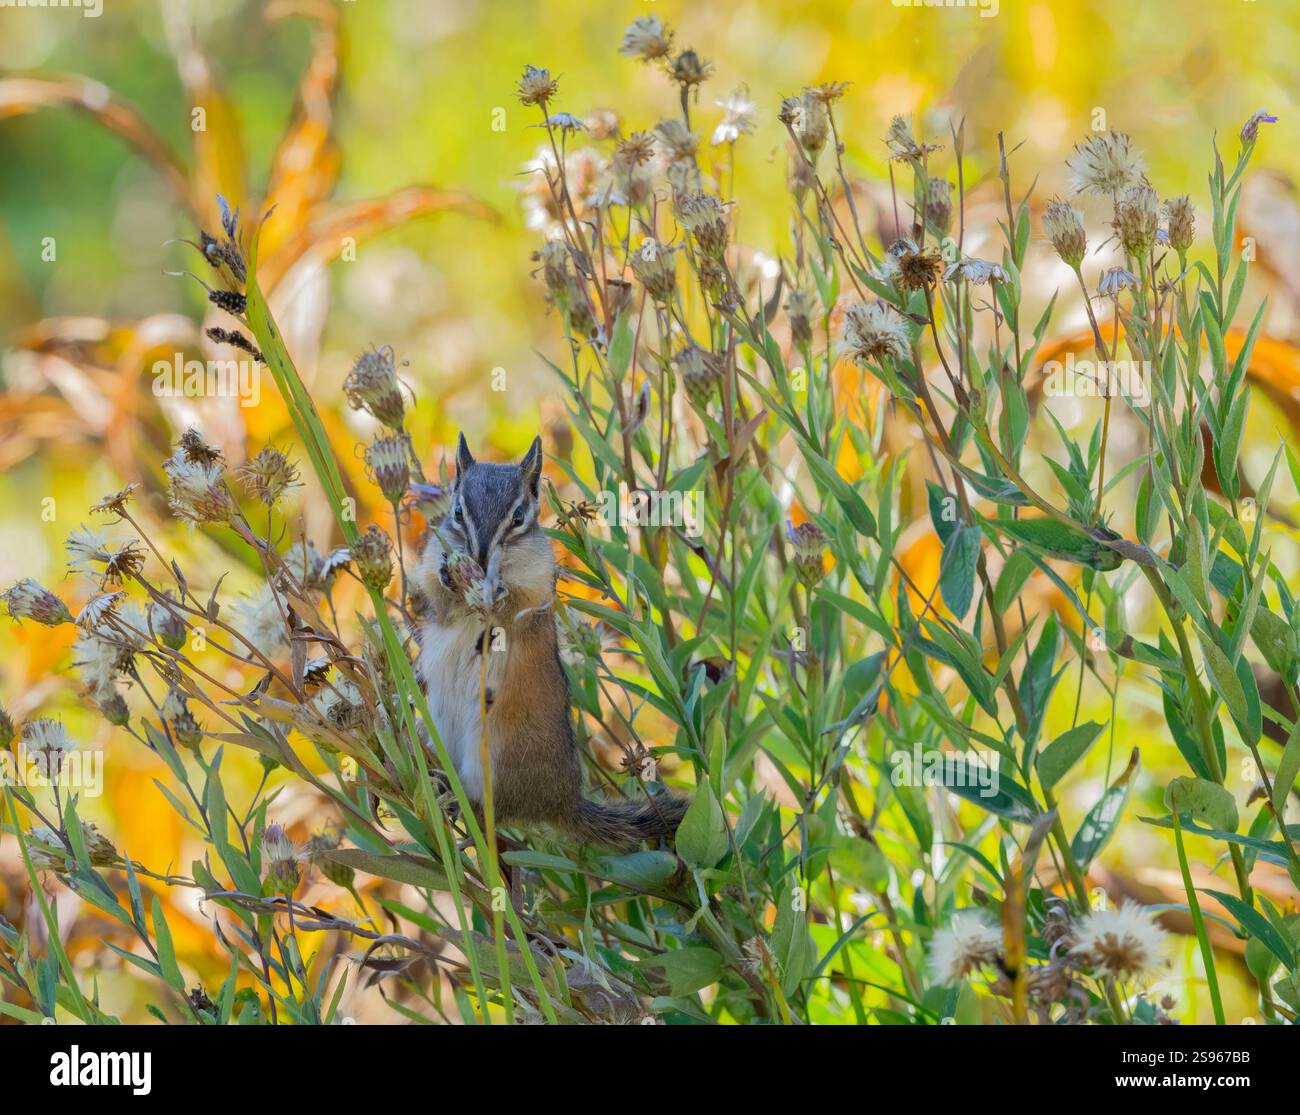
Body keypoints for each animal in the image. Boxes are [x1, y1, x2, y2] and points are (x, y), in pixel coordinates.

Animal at [414, 433, 688, 853]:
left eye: (518, 518)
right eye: (457, 512)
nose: (479, 557)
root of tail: (565, 801)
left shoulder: (536, 589)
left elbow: (514, 609)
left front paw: (497, 592)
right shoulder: (430, 574)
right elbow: (438, 596)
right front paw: (450, 574)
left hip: (496, 757)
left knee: (494, 812)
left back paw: (460, 812)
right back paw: (441, 786)